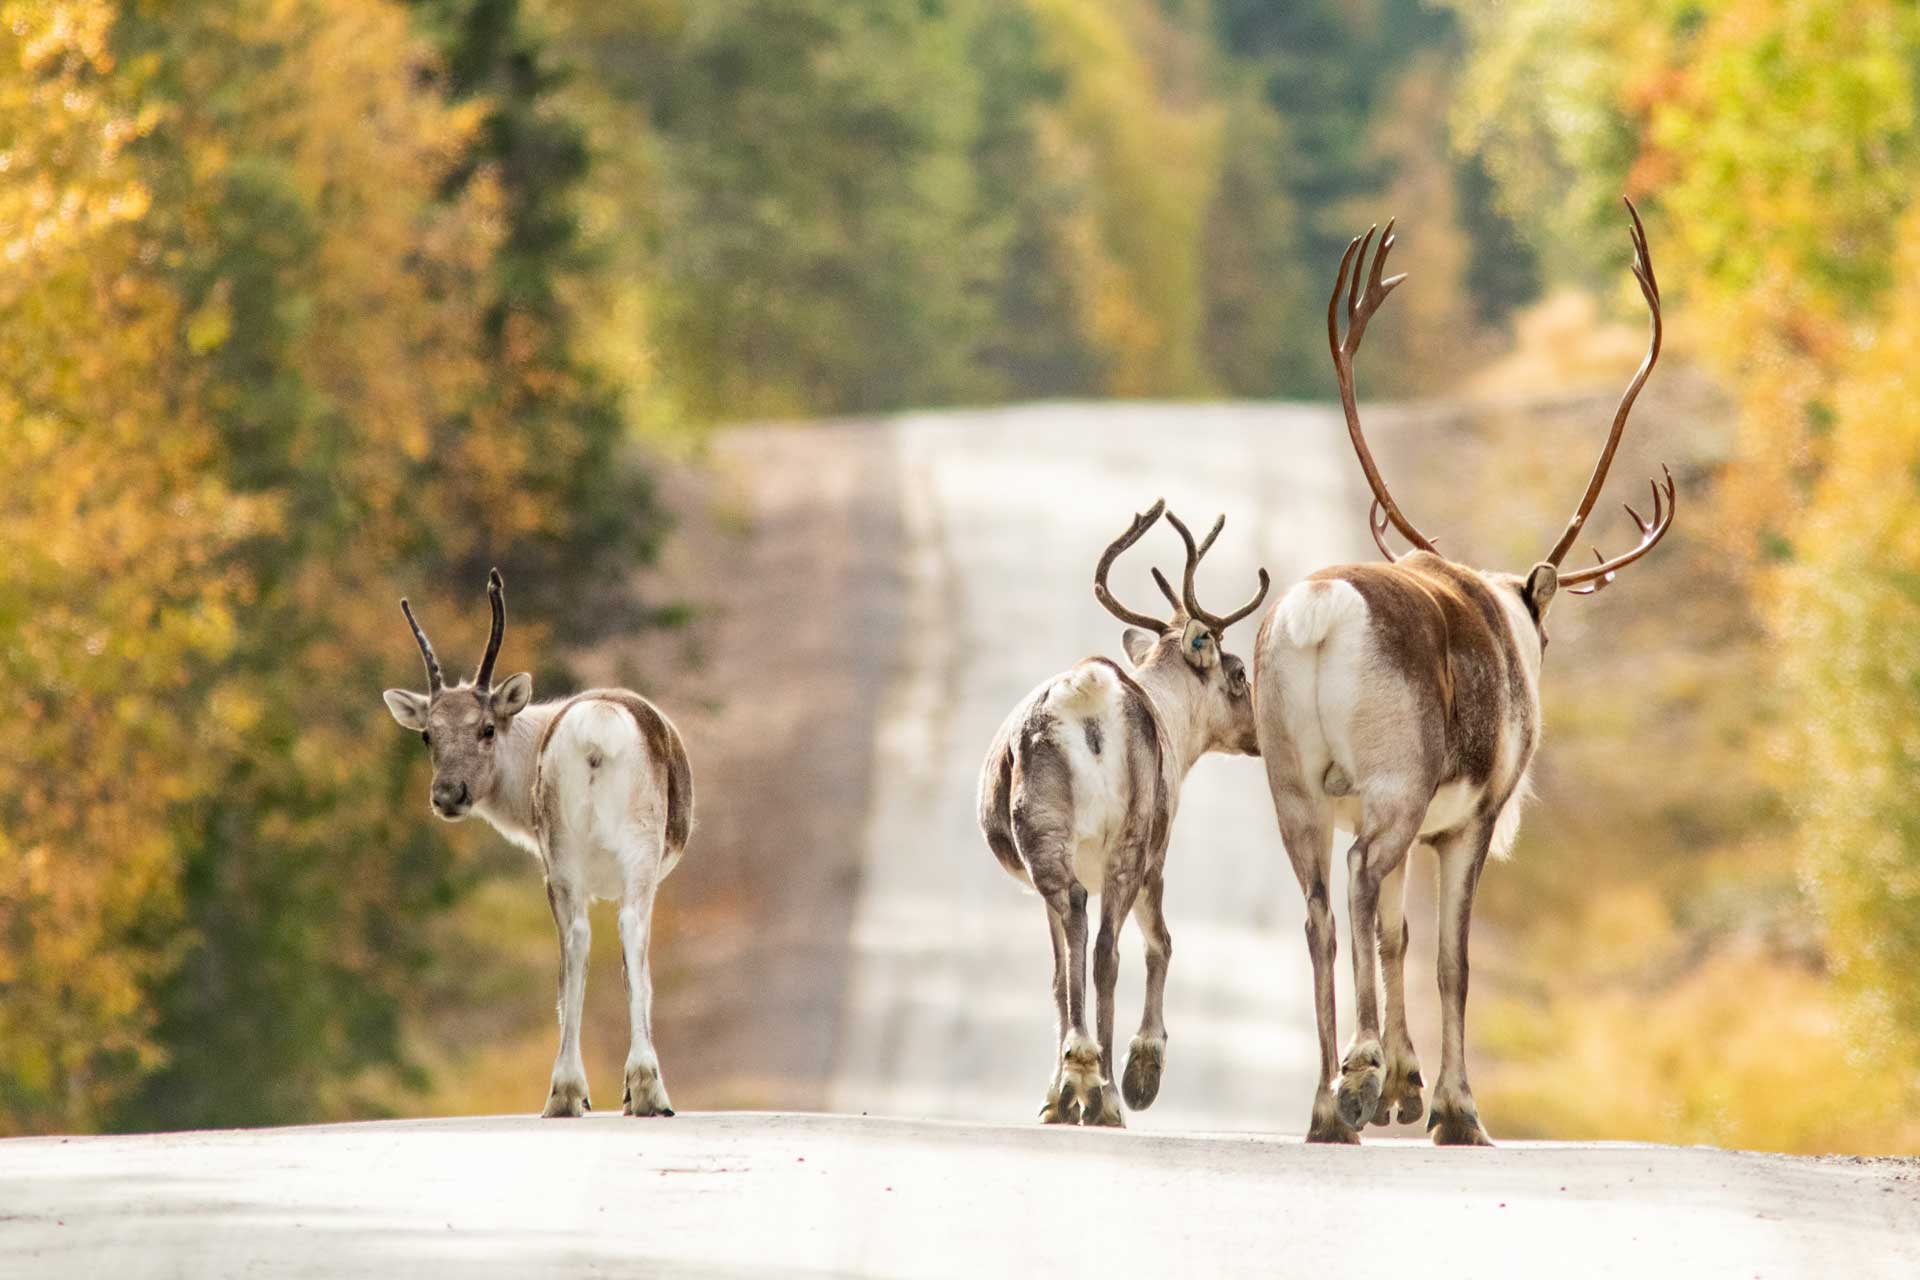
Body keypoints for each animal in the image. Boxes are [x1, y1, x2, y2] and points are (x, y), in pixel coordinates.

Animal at [382, 569, 693, 1119]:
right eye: (427, 735)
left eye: (486, 727)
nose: (448, 794)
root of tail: (595, 736)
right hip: (625, 853)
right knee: (615, 936)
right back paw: (626, 1092)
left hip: (572, 857)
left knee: (578, 940)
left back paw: (575, 1091)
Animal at [978, 500, 1270, 1126]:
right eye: (1238, 672)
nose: (1261, 731)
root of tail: (1087, 700)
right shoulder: (1157, 854)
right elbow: (1162, 943)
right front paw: (1142, 1071)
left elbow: (1057, 973)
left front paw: (1055, 1094)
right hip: (1130, 843)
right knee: (1107, 948)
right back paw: (1105, 1090)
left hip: (1043, 835)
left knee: (1075, 924)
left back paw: (1075, 1074)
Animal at [1253, 199, 1674, 1145]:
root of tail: (1318, 613)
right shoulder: (1471, 818)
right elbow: (1451, 958)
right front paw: (1451, 1108)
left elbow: (1402, 937)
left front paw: (1406, 1087)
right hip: (1394, 784)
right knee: (1359, 878)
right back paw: (1357, 1073)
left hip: (1293, 786)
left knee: (1322, 912)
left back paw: (1329, 1109)